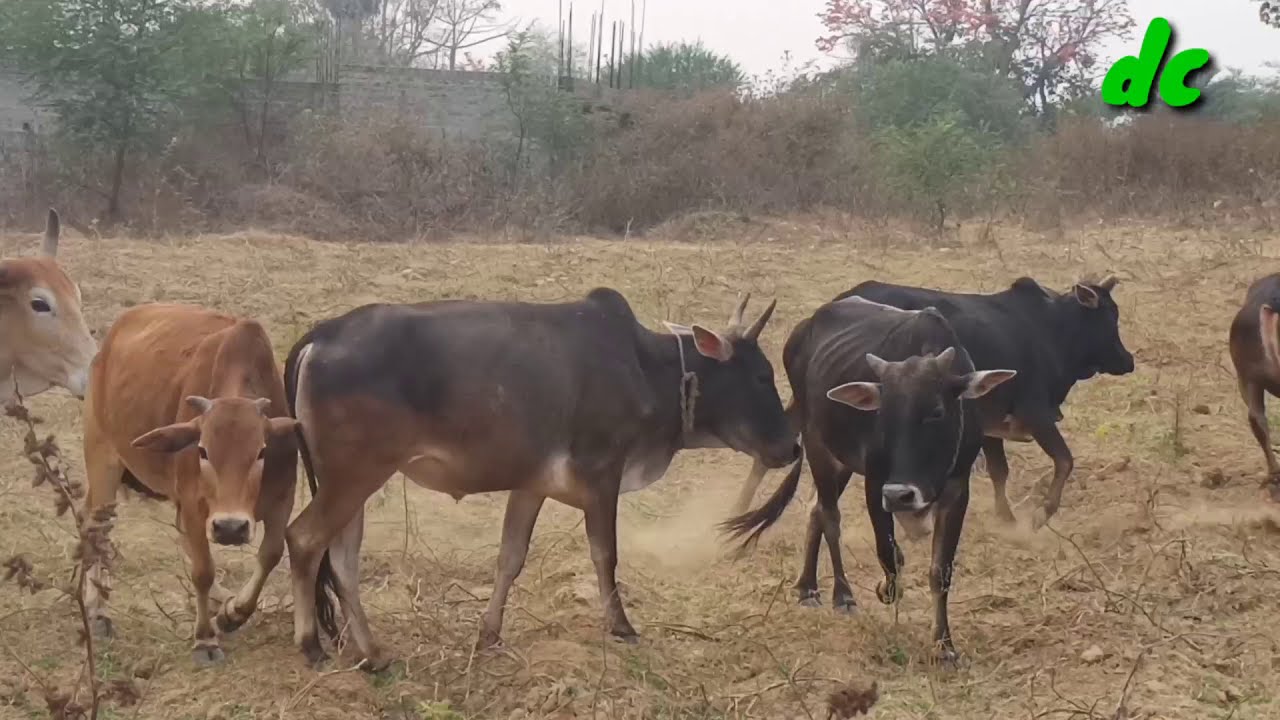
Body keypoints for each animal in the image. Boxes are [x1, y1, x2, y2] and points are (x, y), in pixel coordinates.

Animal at [80, 304, 299, 665]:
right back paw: (97, 612)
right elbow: (203, 571)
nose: (230, 528)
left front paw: (232, 613)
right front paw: (205, 639)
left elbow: (270, 554)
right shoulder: (196, 508)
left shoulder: (282, 498)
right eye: (202, 450)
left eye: (261, 451)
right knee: (96, 531)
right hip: (103, 463)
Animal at [280, 289, 798, 669]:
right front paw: (622, 626)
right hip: (355, 474)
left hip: (350, 481)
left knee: (343, 561)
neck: (647, 368)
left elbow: (510, 557)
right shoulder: (602, 476)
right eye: (760, 375)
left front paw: (489, 634)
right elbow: (605, 555)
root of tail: (321, 336)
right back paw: (311, 646)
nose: (791, 447)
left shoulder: (529, 485)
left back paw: (371, 654)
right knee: (303, 538)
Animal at [722, 296, 1017, 666]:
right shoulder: (877, 484)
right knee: (830, 517)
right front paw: (885, 588)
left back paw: (807, 586)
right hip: (818, 446)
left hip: (840, 462)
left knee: (816, 510)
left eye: (936, 411)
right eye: (883, 412)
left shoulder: (956, 489)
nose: (902, 495)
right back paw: (841, 594)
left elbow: (940, 570)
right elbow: (887, 553)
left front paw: (944, 647)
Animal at [733, 275, 1134, 527]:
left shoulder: (987, 425)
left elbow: (1000, 473)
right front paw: (1040, 514)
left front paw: (1005, 517)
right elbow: (1064, 461)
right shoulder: (1035, 412)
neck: (1050, 329)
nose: (1128, 360)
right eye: (1109, 317)